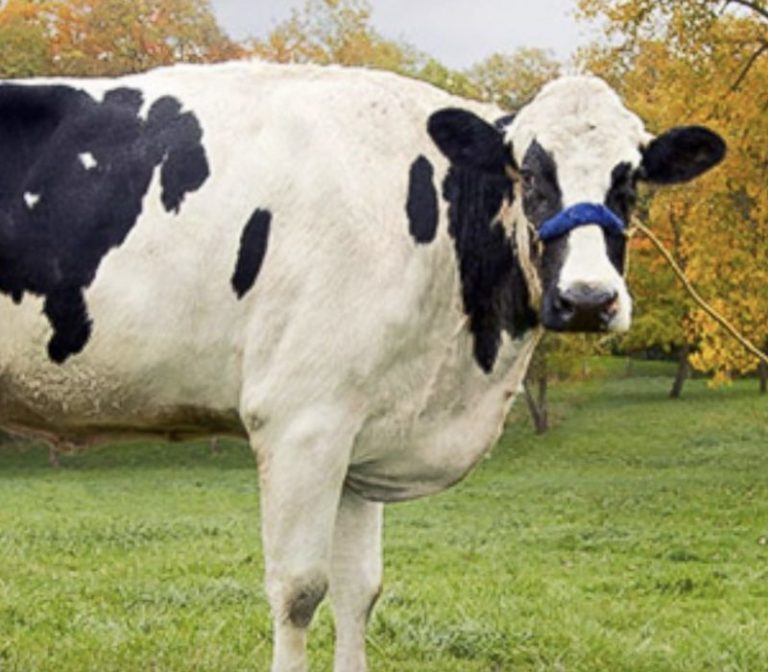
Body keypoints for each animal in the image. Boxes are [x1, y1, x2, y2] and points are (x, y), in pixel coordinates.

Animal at [0, 62, 725, 671]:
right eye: (528, 172)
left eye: (630, 180)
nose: (587, 300)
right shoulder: (303, 422)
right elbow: (298, 591)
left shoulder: (362, 433)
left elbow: (360, 590)